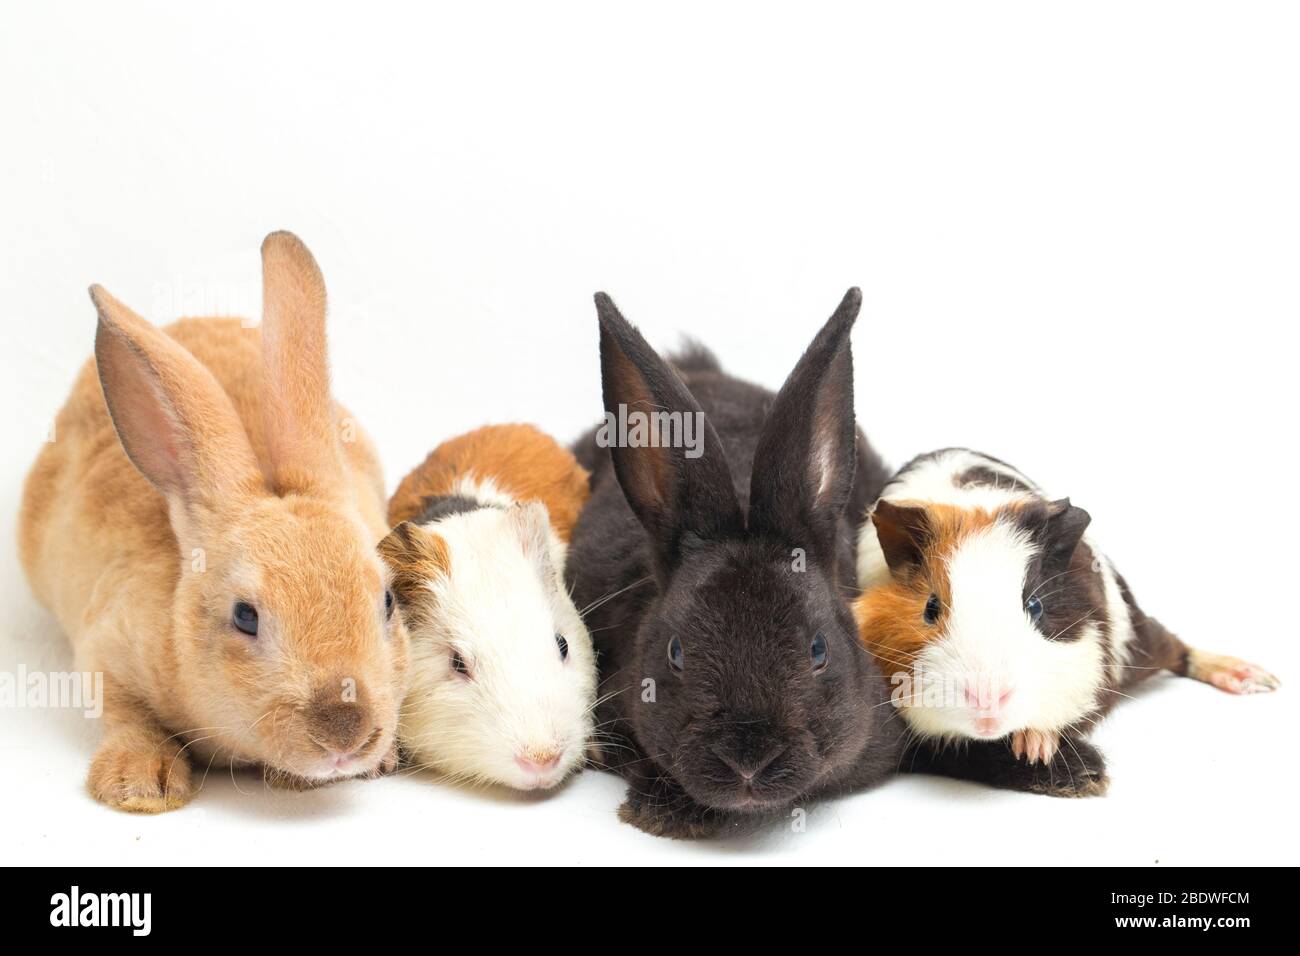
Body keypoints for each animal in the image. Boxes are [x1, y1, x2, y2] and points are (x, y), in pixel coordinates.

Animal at [17, 231, 410, 812]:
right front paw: (140, 785)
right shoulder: (104, 655)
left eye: (386, 602)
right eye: (245, 616)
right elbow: (126, 716)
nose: (346, 731)